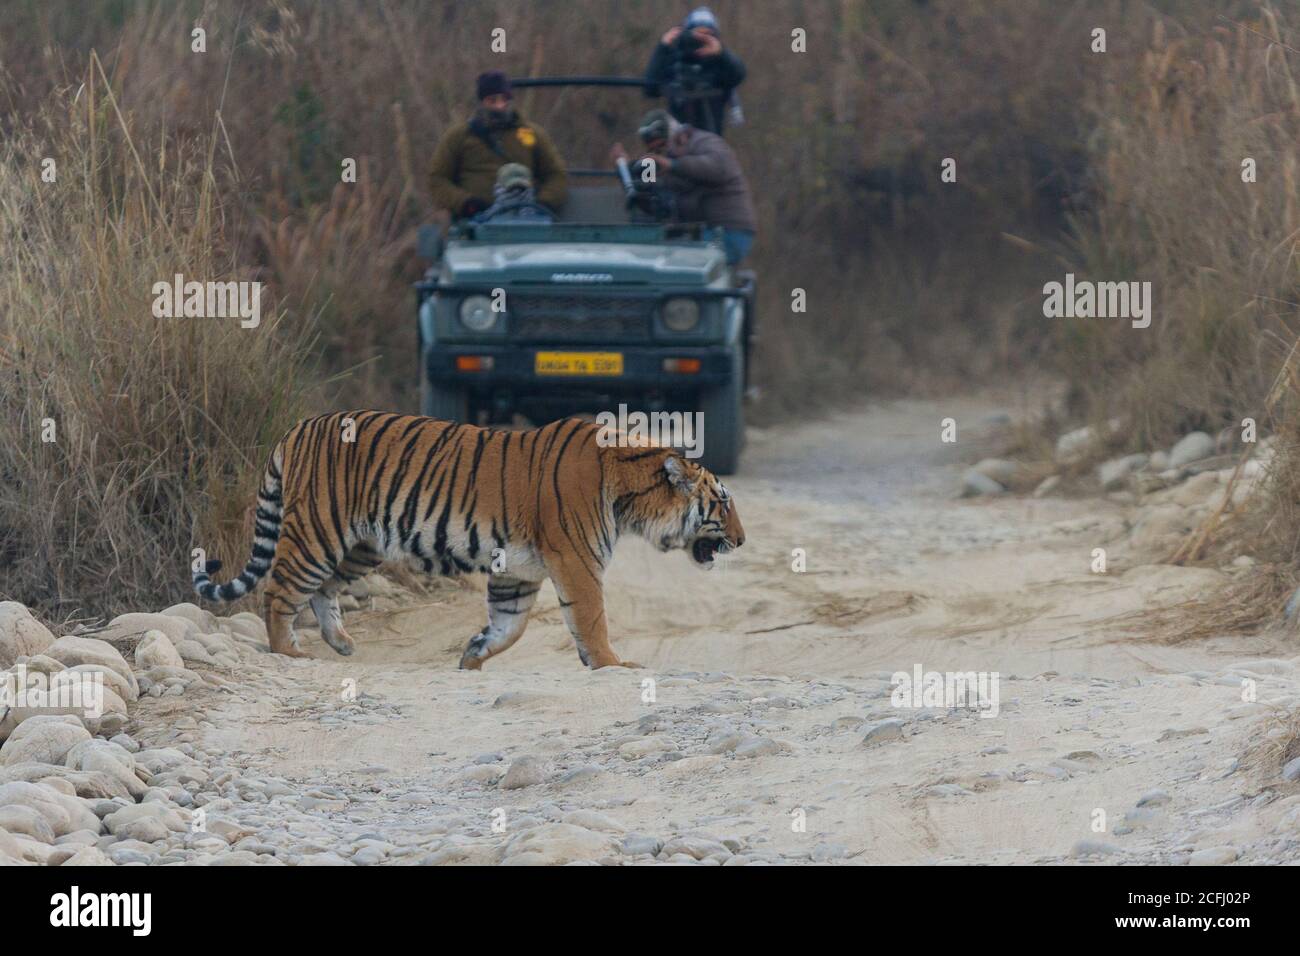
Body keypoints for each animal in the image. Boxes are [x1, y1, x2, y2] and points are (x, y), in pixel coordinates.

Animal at [192, 411, 744, 669]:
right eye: (722, 502)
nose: (741, 541)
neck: (629, 493)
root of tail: (299, 426)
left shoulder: (519, 571)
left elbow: (511, 627)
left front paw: (473, 654)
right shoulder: (577, 561)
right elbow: (591, 619)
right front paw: (612, 663)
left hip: (361, 545)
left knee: (324, 589)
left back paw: (342, 642)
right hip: (317, 531)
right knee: (279, 590)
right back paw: (289, 650)